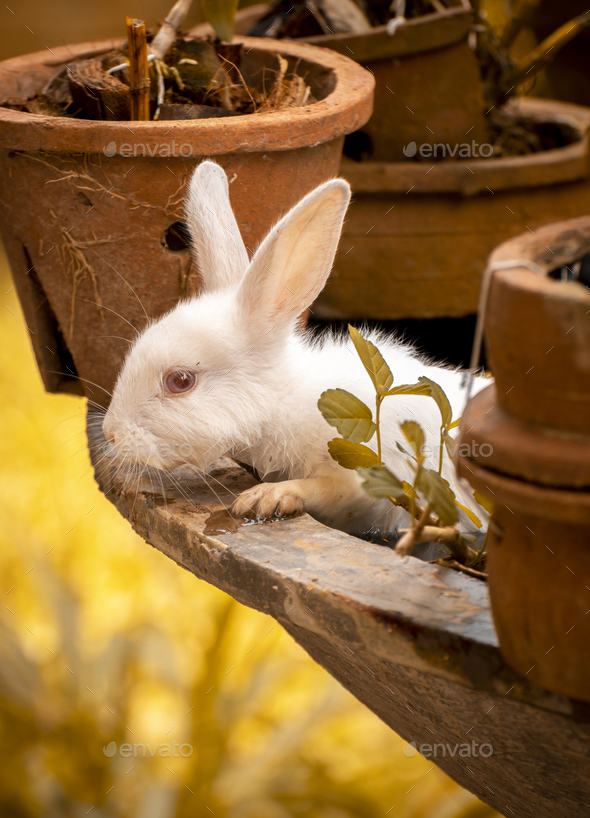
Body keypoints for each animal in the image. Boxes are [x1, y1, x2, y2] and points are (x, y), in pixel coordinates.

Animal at [102, 160, 489, 538]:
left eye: (180, 381)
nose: (110, 433)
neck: (284, 403)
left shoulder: (364, 479)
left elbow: (328, 489)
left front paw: (267, 496)